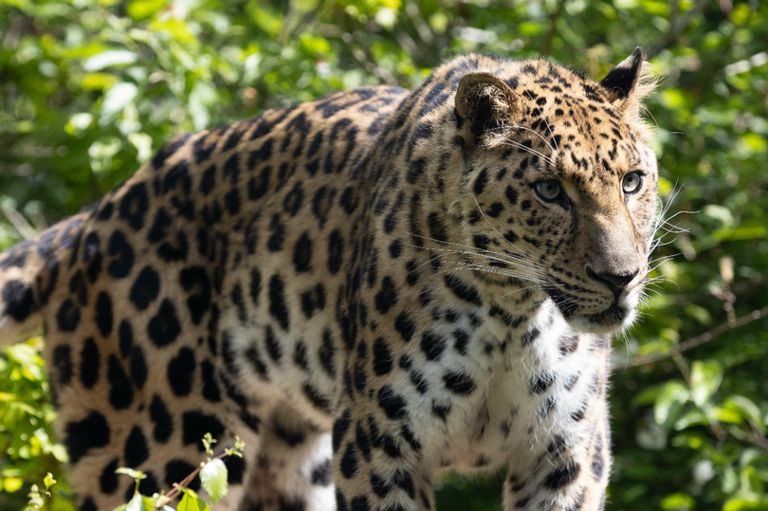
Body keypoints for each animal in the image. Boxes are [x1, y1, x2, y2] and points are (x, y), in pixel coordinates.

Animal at [0, 48, 658, 511]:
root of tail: (96, 215)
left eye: (632, 182)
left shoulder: (566, 455)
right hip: (160, 454)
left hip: (289, 463)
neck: (511, 310)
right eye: (549, 191)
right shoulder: (378, 447)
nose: (621, 277)